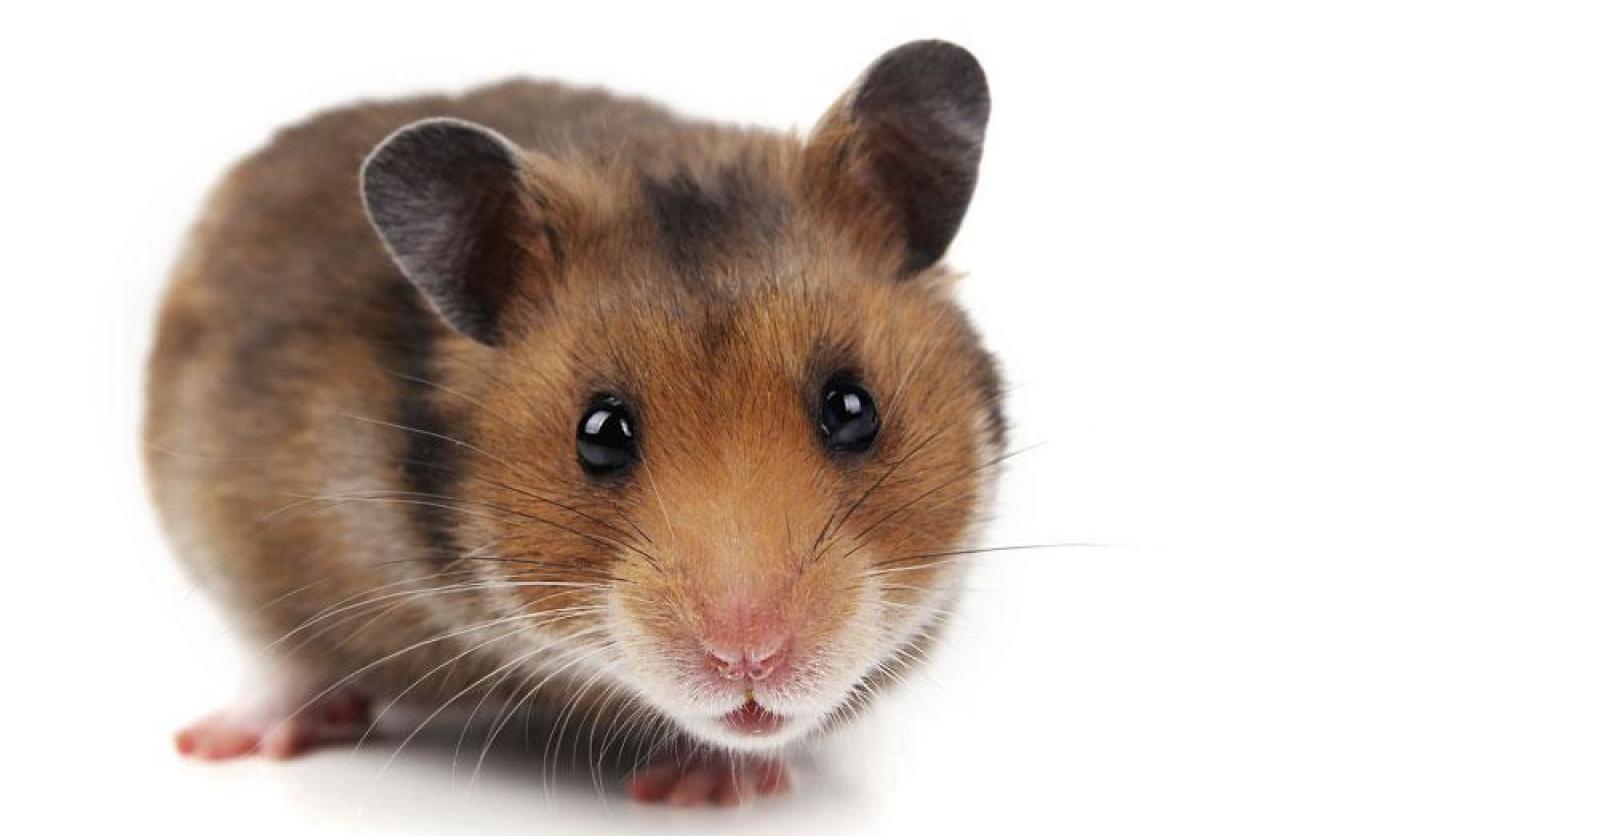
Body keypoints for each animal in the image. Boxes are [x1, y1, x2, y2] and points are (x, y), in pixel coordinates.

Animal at [145, 39, 1005, 806]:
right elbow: (278, 651)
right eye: (599, 435)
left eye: (853, 410)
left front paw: (701, 793)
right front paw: (212, 747)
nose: (750, 660)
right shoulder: (230, 516)